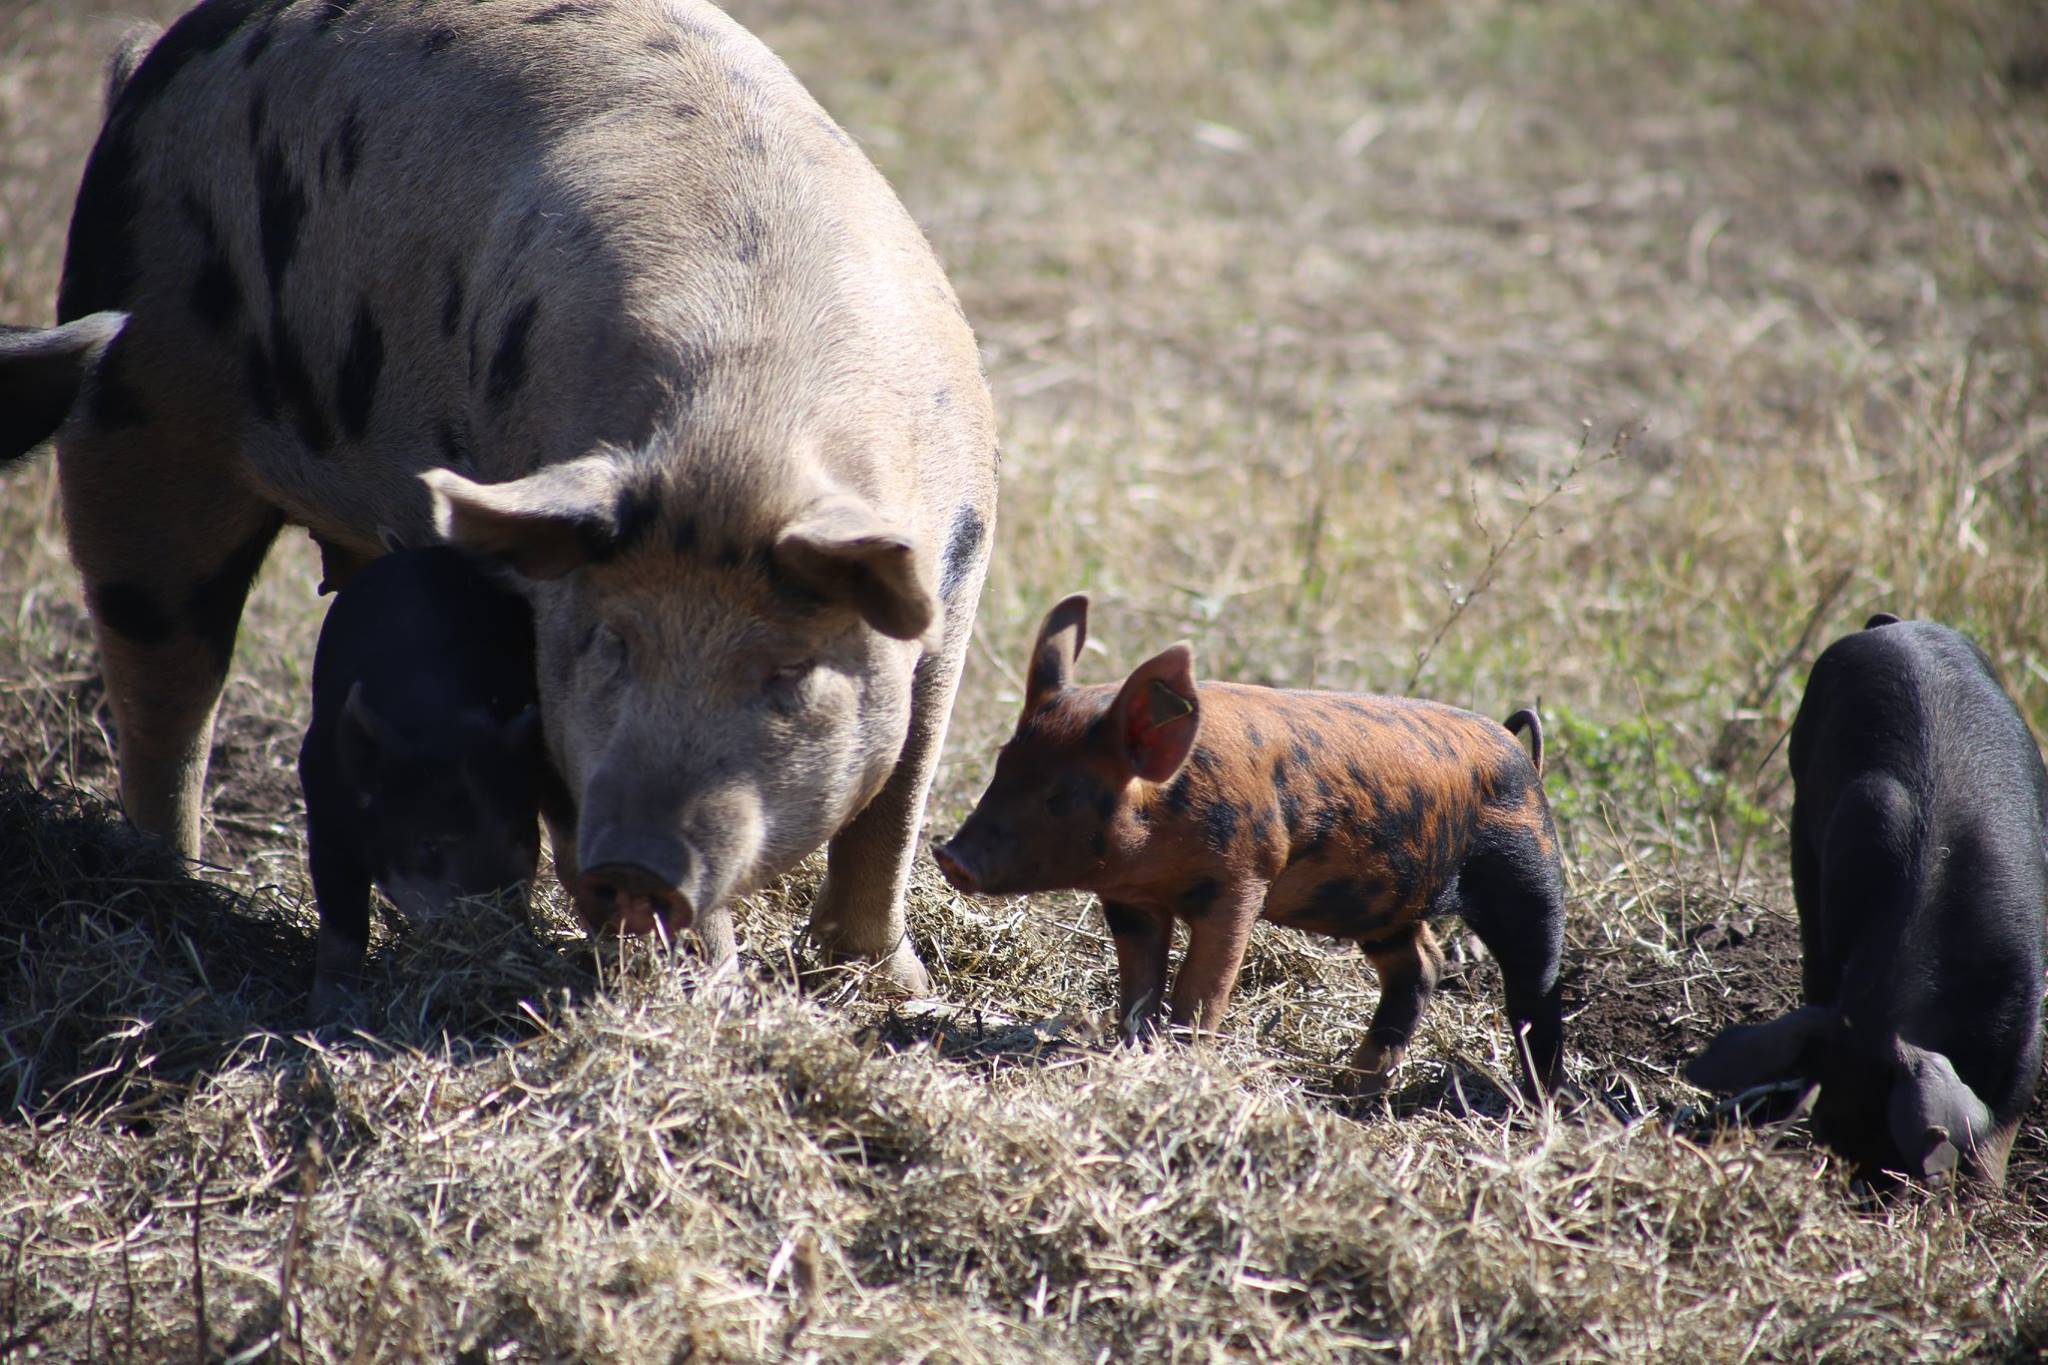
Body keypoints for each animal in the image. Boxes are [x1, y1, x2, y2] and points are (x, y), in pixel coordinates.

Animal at [300, 545, 552, 1020]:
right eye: (429, 844)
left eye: (519, 838)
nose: (497, 939)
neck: (438, 715)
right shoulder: (324, 812)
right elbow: (342, 926)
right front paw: (330, 1017)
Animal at [933, 595, 1567, 1096]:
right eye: (1002, 765)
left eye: (1061, 795)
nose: (948, 856)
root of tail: (1516, 746)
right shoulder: (1131, 898)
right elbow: (1138, 983)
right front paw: (1133, 1049)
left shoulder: (1242, 879)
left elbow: (1201, 988)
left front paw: (1182, 1058)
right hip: (1384, 904)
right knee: (1420, 966)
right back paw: (1351, 1090)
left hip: (1528, 869)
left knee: (1535, 985)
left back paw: (1542, 1103)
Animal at [1686, 614, 2048, 1188]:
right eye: (1827, 1120)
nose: (1862, 1189)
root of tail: (1892, 625)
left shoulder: (2027, 1010)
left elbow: (2000, 1128)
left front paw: (1984, 1197)